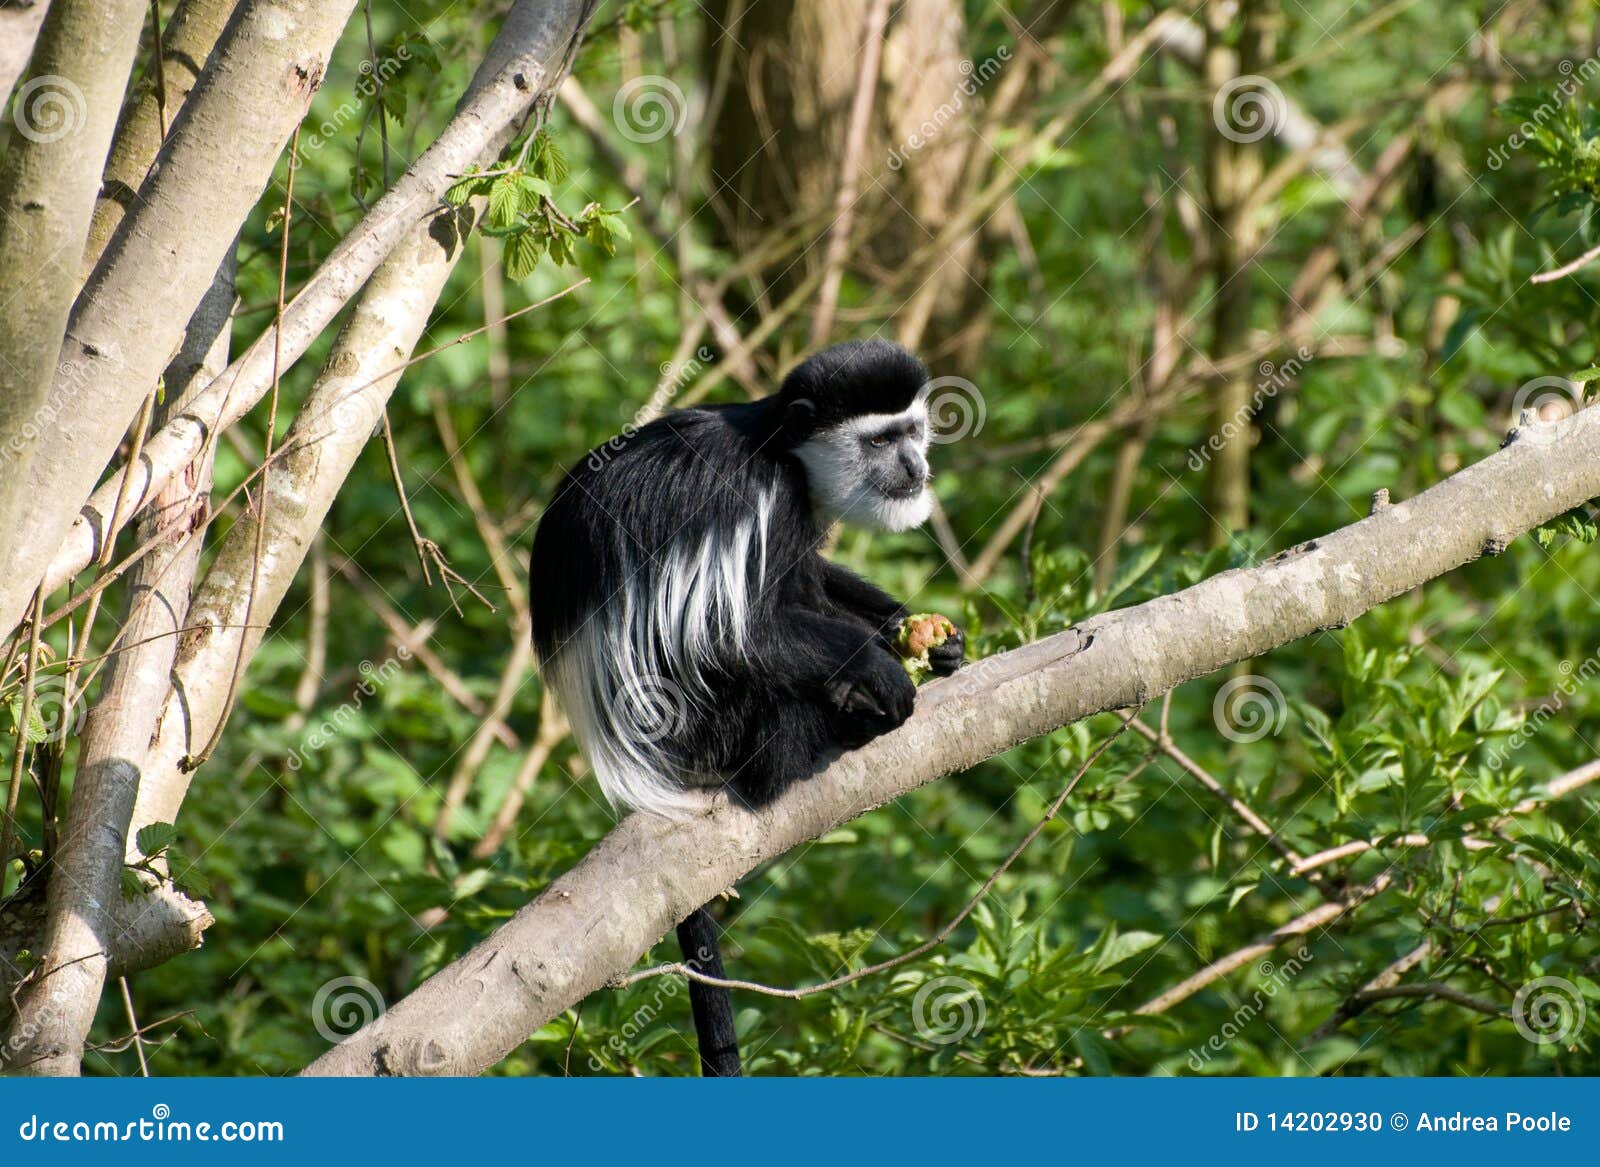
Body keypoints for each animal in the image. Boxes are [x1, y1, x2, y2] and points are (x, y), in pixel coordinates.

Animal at [528, 338, 965, 1074]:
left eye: (912, 430)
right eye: (881, 440)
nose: (916, 468)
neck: (780, 446)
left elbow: (809, 581)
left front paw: (929, 639)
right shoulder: (764, 504)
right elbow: (734, 633)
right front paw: (880, 668)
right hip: (712, 725)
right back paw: (828, 731)